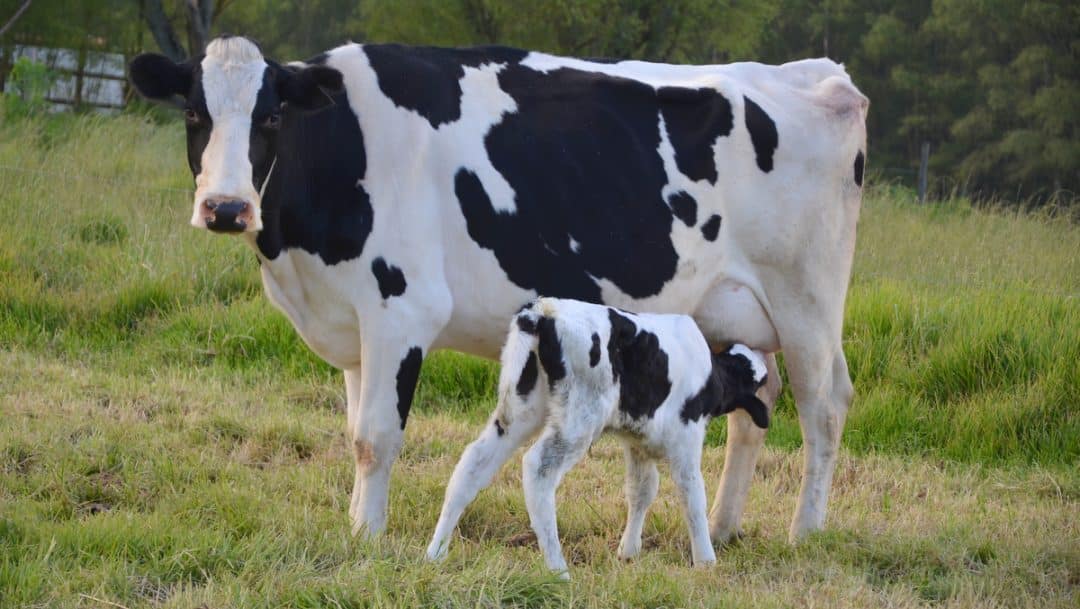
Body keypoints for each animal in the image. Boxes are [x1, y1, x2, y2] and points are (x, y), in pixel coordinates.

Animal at [128, 35, 867, 544]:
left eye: (272, 117)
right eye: (193, 113)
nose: (226, 207)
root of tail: (813, 74)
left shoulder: (403, 308)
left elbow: (376, 435)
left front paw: (367, 536)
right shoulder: (354, 321)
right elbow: (354, 429)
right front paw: (356, 522)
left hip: (806, 304)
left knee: (824, 405)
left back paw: (805, 532)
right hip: (734, 312)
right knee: (754, 401)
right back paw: (723, 524)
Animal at [426, 298, 771, 576]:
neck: (711, 373)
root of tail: (541, 312)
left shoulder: (638, 442)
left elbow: (642, 490)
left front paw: (628, 552)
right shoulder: (686, 437)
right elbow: (693, 495)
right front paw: (706, 561)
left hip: (519, 410)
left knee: (474, 462)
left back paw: (435, 554)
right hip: (579, 417)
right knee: (538, 468)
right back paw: (558, 570)